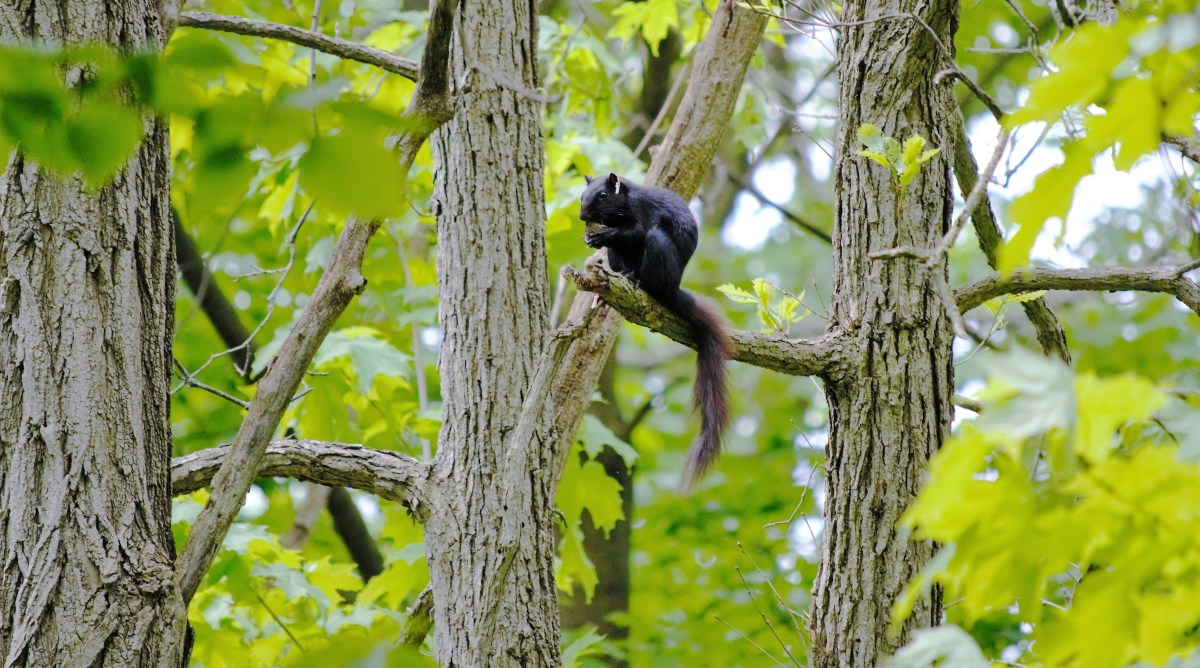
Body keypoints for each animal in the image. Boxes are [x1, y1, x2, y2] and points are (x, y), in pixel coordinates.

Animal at [580, 172, 732, 487]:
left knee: (650, 259)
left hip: (659, 252)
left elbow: (635, 232)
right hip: (618, 258)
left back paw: (639, 281)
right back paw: (623, 275)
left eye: (603, 195)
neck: (623, 206)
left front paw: (605, 235)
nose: (582, 216)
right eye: (582, 195)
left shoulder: (643, 212)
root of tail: (672, 288)